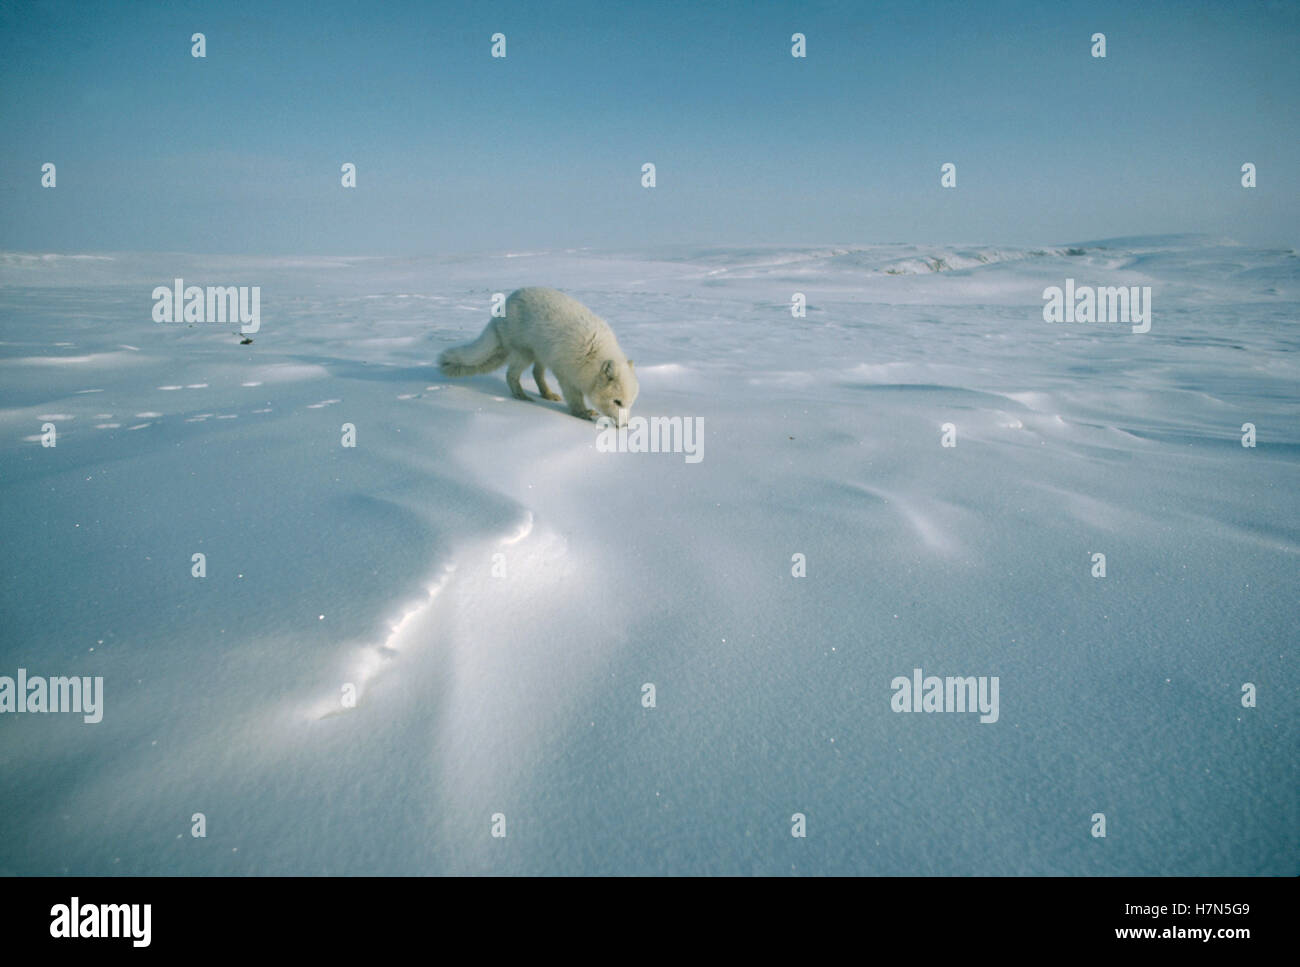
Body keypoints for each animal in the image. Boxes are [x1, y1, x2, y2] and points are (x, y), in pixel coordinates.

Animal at [438, 287, 639, 426]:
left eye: (629, 403)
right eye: (617, 402)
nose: (625, 426)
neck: (592, 352)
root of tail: (501, 309)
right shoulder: (566, 375)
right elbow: (574, 398)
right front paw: (582, 414)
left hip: (541, 354)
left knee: (536, 373)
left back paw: (547, 394)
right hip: (524, 353)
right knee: (511, 375)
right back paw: (521, 396)